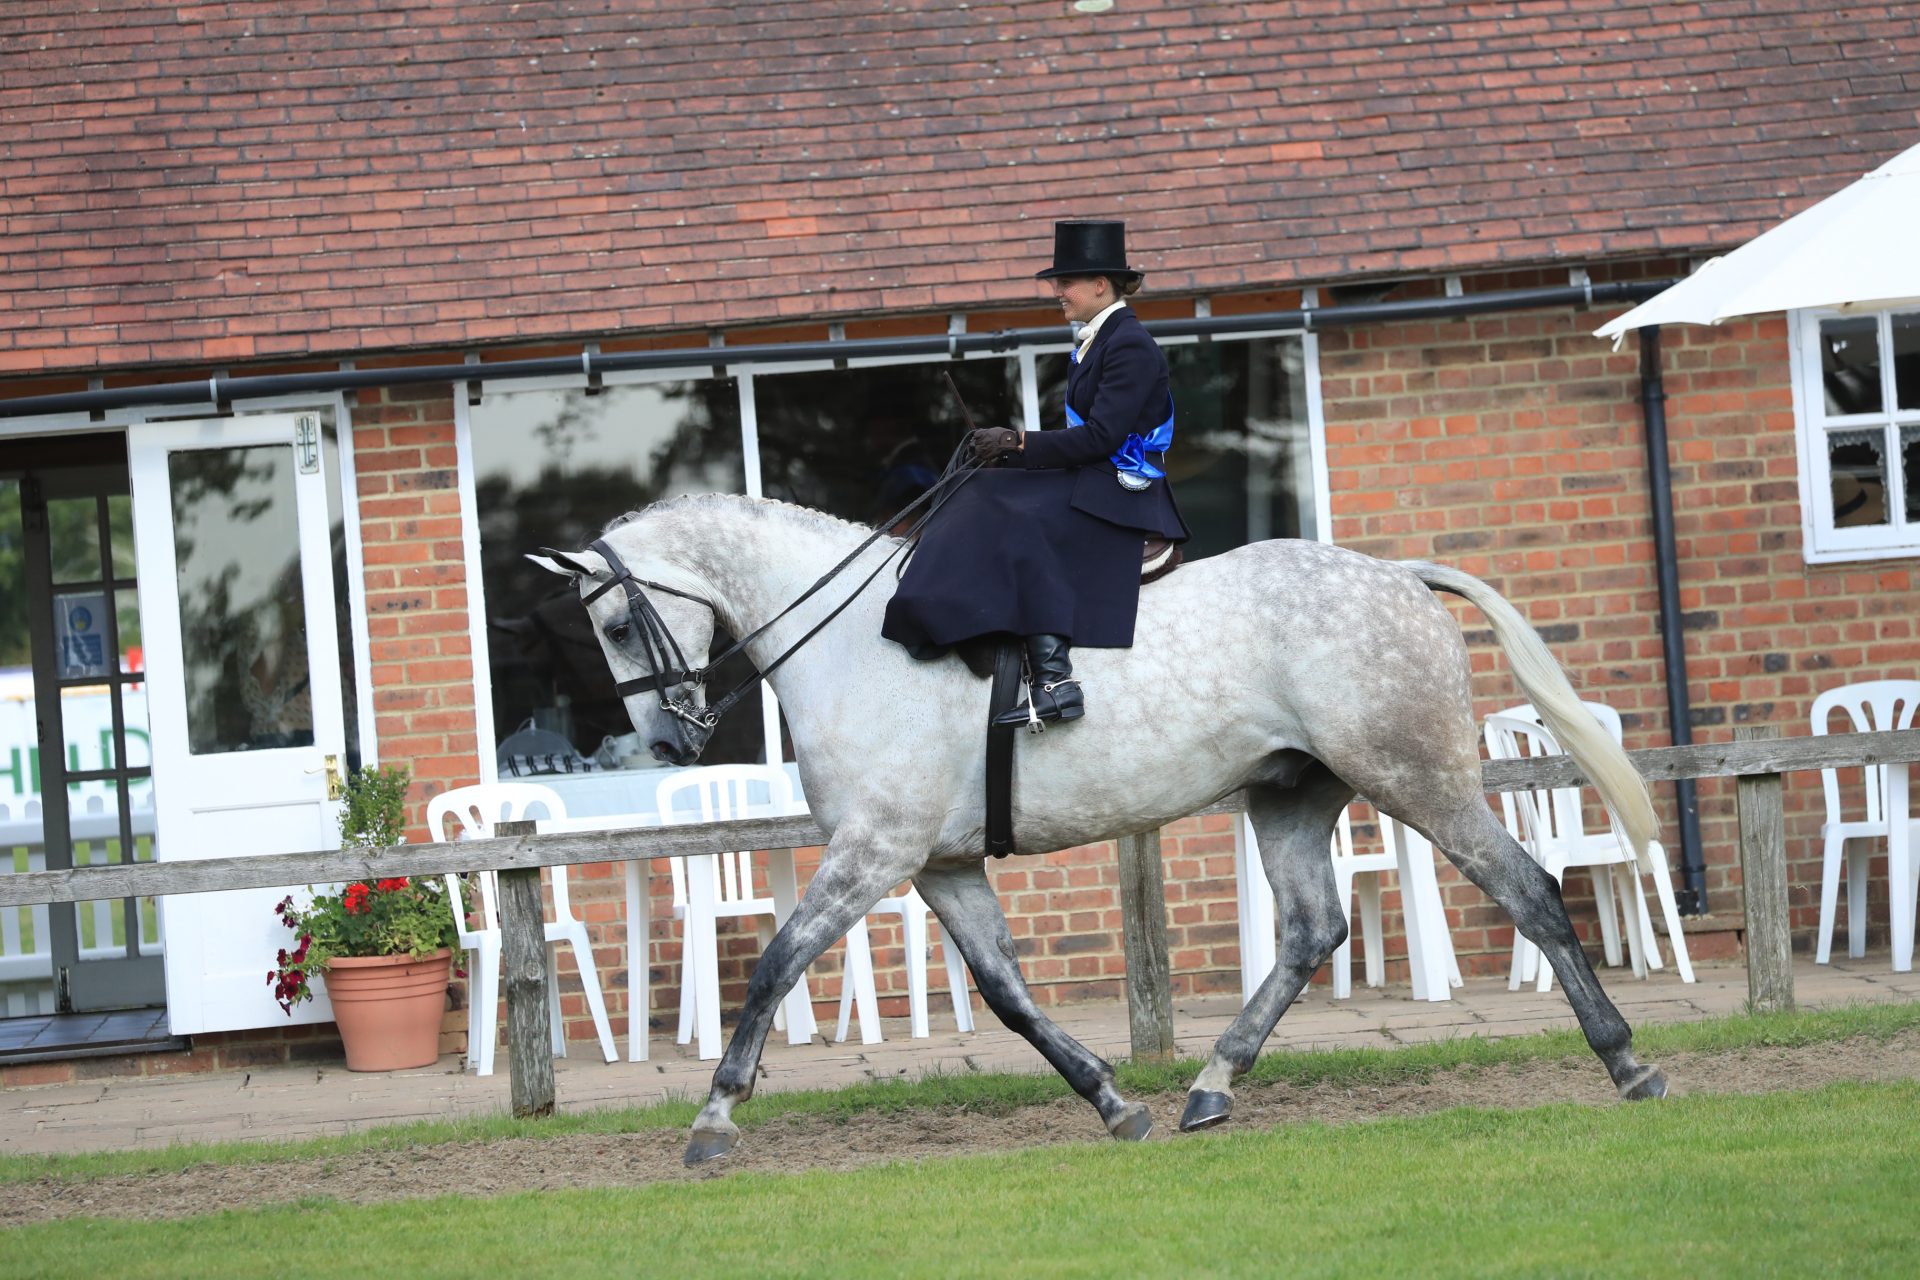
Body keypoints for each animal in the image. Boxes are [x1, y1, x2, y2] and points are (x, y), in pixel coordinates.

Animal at [530, 492, 1670, 1166]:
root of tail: (1396, 574)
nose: (665, 740)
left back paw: (1628, 1063)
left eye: (619, 622)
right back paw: (1210, 1087)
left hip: (1414, 778)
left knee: (1528, 889)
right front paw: (1111, 1100)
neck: (855, 640)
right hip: (1293, 794)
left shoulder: (875, 851)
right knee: (1311, 930)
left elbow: (773, 964)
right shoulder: (938, 864)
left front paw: (714, 1118)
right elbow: (1007, 992)